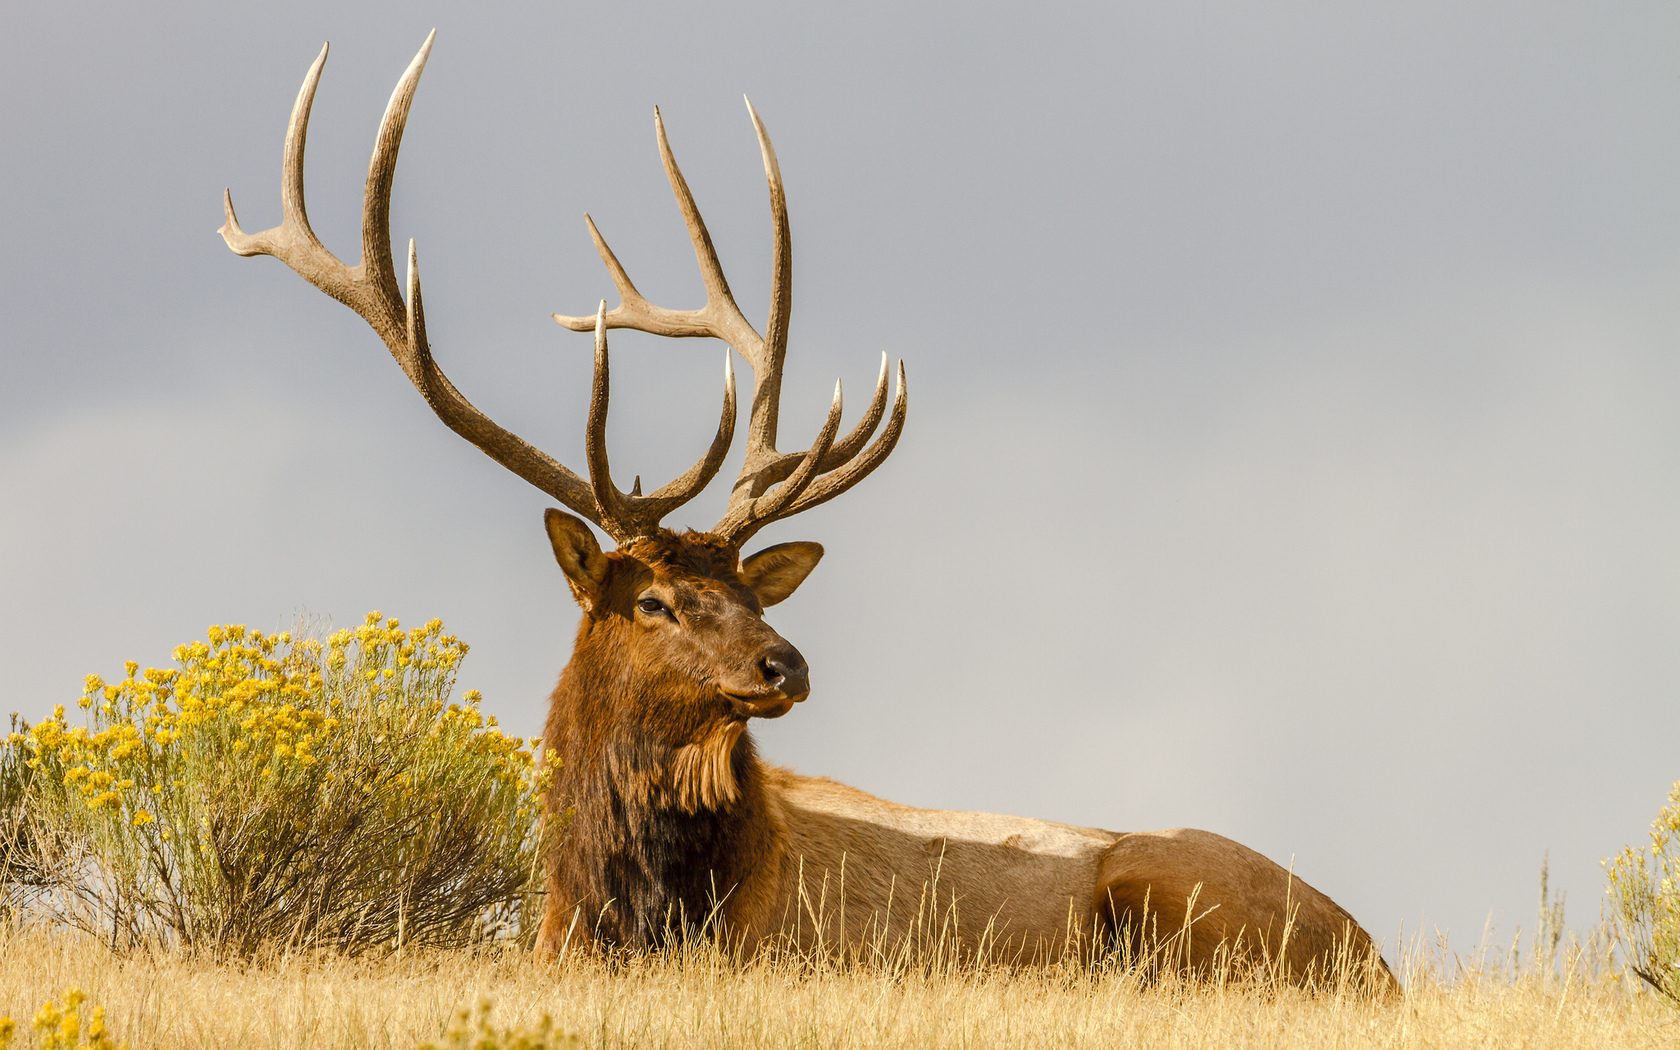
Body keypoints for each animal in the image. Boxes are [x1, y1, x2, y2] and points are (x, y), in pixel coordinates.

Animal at [220, 32, 1394, 989]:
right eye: (652, 601)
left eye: (751, 589)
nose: (785, 665)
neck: (627, 911)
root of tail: (1374, 954)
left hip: (1170, 886)